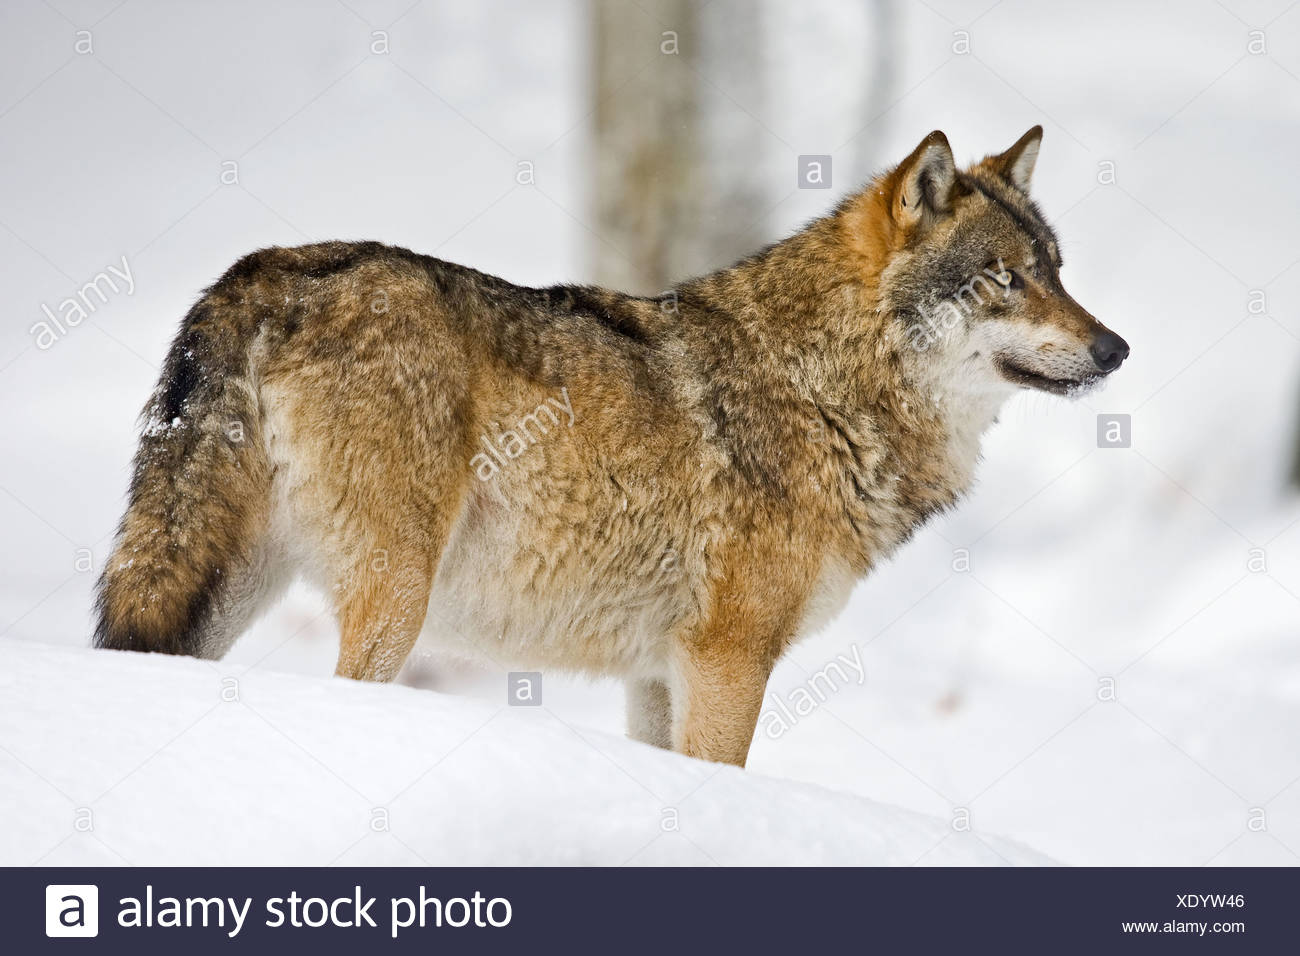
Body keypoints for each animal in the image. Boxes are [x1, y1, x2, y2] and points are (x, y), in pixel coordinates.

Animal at [95, 127, 1128, 767]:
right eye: (1004, 279)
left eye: (1058, 272)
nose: (1115, 349)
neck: (824, 388)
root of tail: (265, 271)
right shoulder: (727, 658)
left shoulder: (657, 674)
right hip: (392, 597)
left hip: (227, 591)